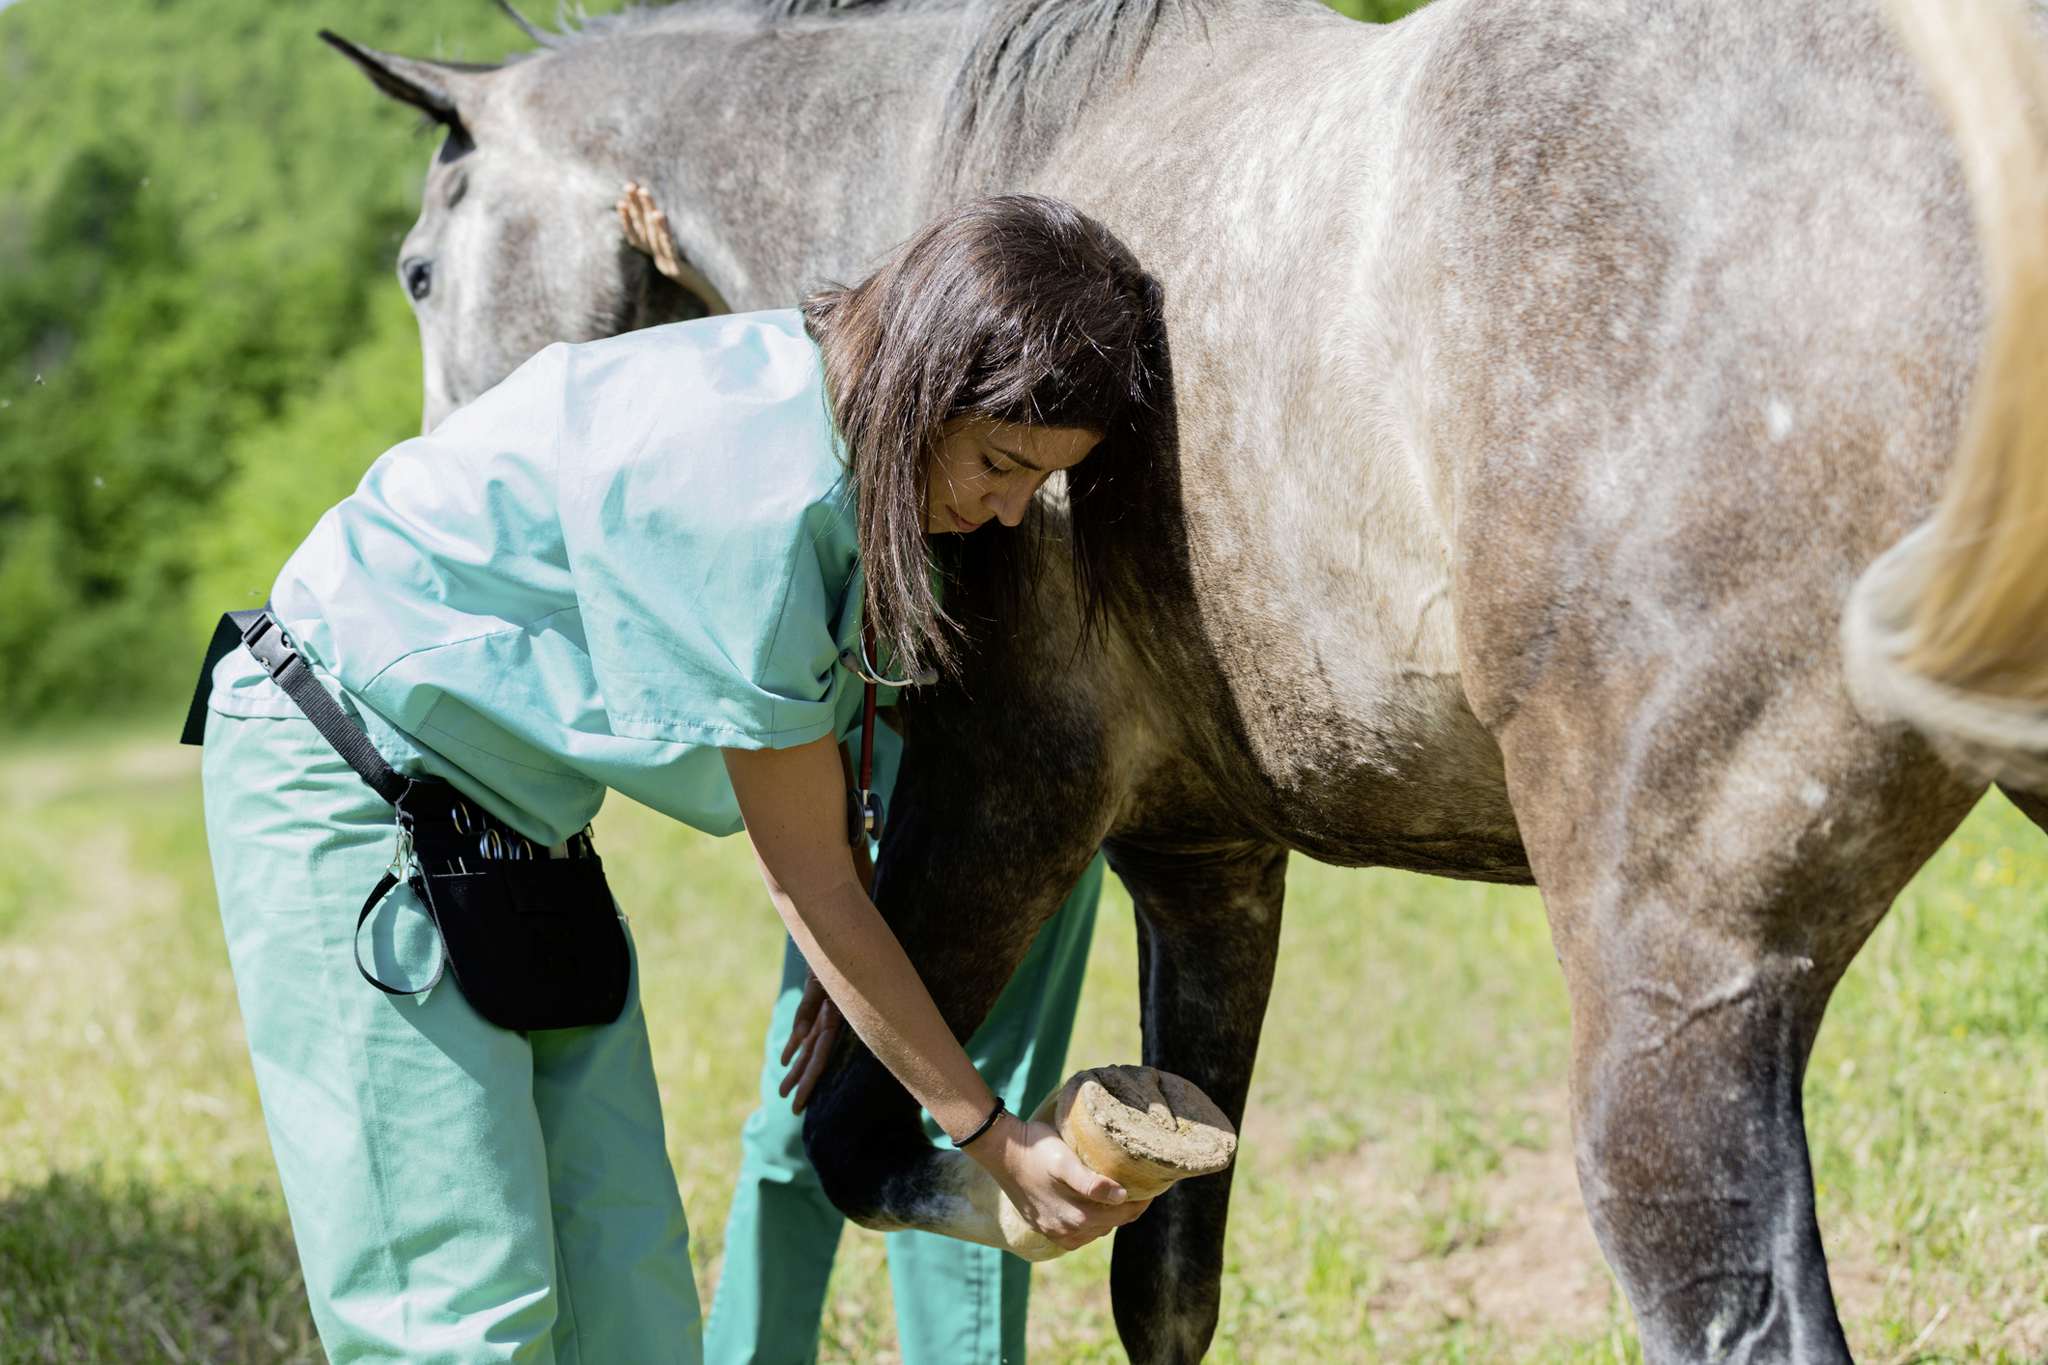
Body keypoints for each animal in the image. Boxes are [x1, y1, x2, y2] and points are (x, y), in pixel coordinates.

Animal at [323, 0, 2048, 1358]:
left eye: (415, 270)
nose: (429, 477)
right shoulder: (1207, 867)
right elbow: (1165, 1275)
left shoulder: (997, 805)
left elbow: (868, 1142)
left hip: (1674, 995)